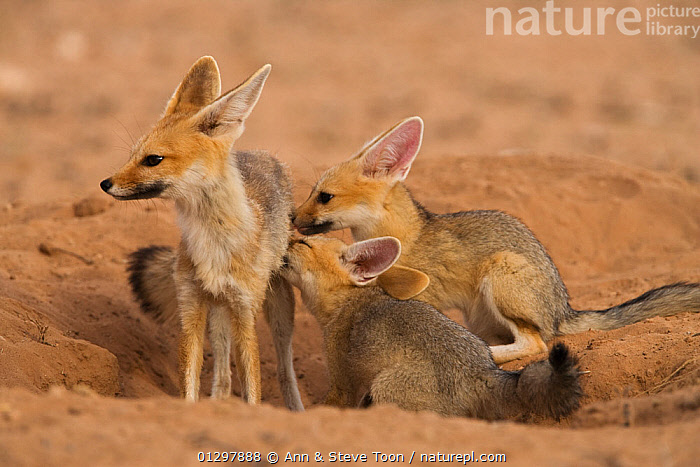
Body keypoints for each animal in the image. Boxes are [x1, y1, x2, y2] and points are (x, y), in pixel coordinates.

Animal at [100, 56, 303, 410]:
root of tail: (264, 154)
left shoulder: (244, 311)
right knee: (222, 372)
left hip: (276, 308)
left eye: (153, 159)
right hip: (217, 312)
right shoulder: (191, 306)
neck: (213, 244)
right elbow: (190, 379)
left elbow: (253, 385)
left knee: (282, 367)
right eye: (132, 155)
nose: (105, 183)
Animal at [281, 235, 582, 420]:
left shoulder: (342, 385)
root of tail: (480, 371)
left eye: (302, 242)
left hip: (384, 386)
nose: (285, 233)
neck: (347, 301)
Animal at [293, 116, 700, 364]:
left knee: (536, 343)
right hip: (480, 313)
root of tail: (562, 308)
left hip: (501, 276)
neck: (404, 236)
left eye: (324, 196)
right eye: (312, 192)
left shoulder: (423, 295)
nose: (293, 219)